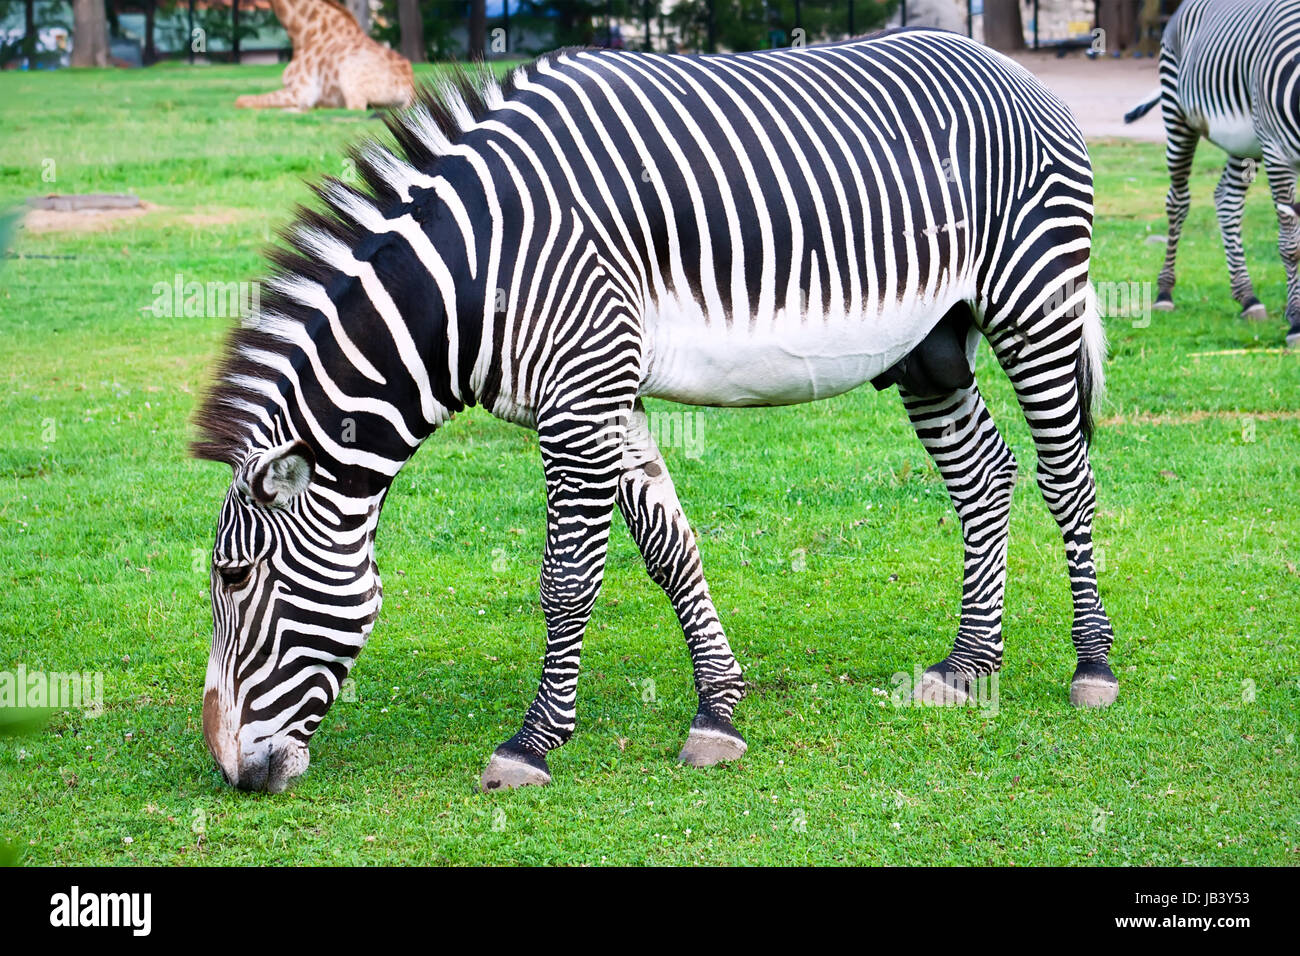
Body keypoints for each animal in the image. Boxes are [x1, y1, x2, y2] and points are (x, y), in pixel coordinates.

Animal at [193, 28, 1119, 795]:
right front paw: (719, 713)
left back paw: (1092, 667)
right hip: (930, 343)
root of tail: (1009, 66)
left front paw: (531, 745)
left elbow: (567, 579)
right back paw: (968, 666)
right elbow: (671, 550)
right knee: (986, 477)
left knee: (1066, 479)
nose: (234, 775)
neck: (473, 277)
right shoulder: (604, 392)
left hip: (1035, 298)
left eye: (234, 578)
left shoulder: (580, 396)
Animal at [1124, 0, 1300, 348]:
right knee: (1178, 200)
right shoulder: (1277, 152)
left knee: (1227, 199)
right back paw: (1165, 292)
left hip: (1245, 141)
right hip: (1178, 115)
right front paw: (1296, 322)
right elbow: (1291, 244)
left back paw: (1248, 297)